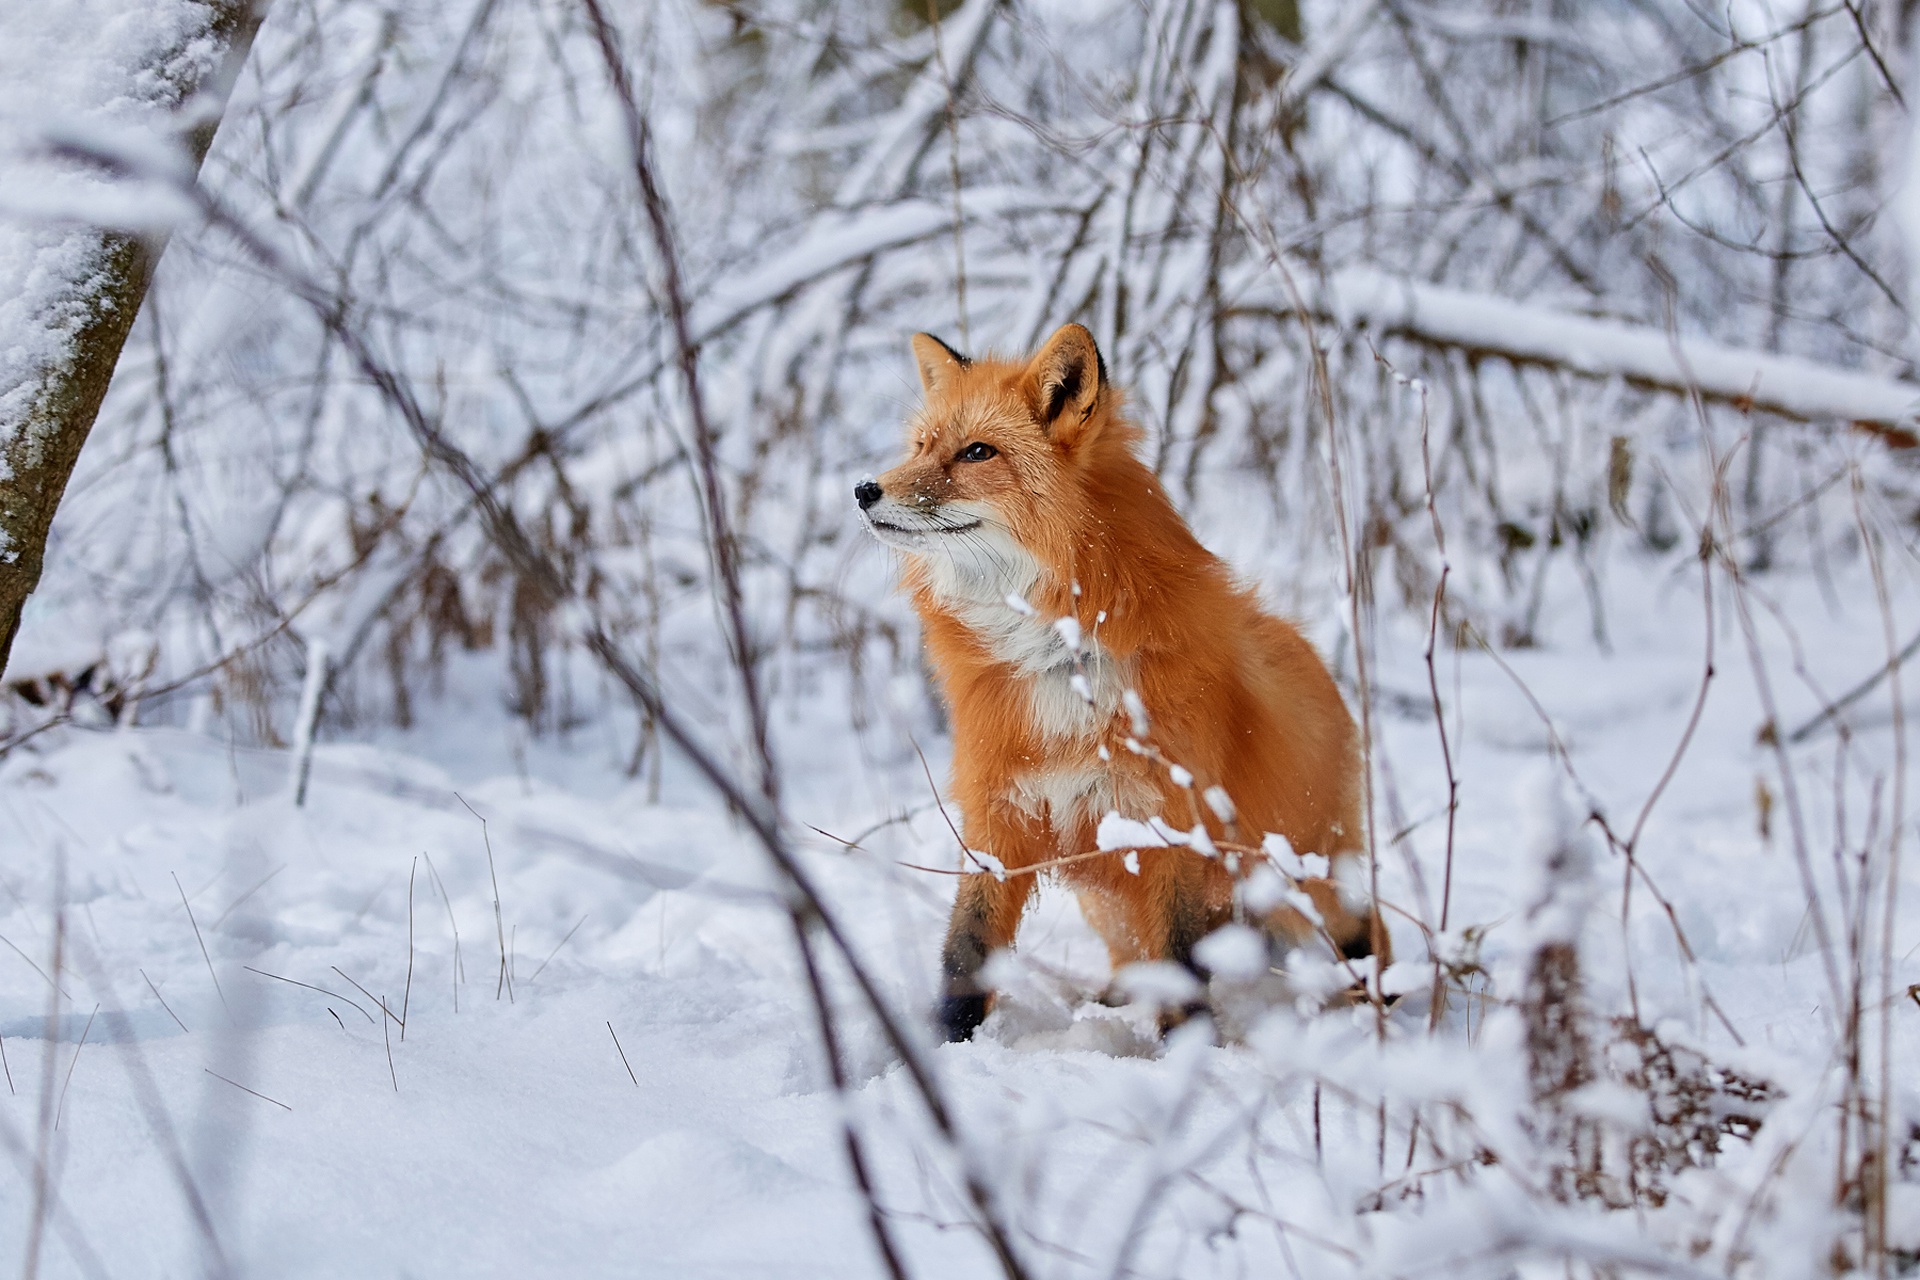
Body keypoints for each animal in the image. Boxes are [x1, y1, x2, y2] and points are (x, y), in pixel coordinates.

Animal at [857, 323, 1386, 1042]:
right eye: (919, 447)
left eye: (977, 452)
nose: (865, 489)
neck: (1058, 661)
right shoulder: (999, 813)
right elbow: (966, 947)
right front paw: (946, 1044)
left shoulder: (1171, 826)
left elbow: (1184, 967)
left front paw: (1190, 1052)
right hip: (1109, 894)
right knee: (1134, 953)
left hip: (1304, 877)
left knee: (1362, 929)